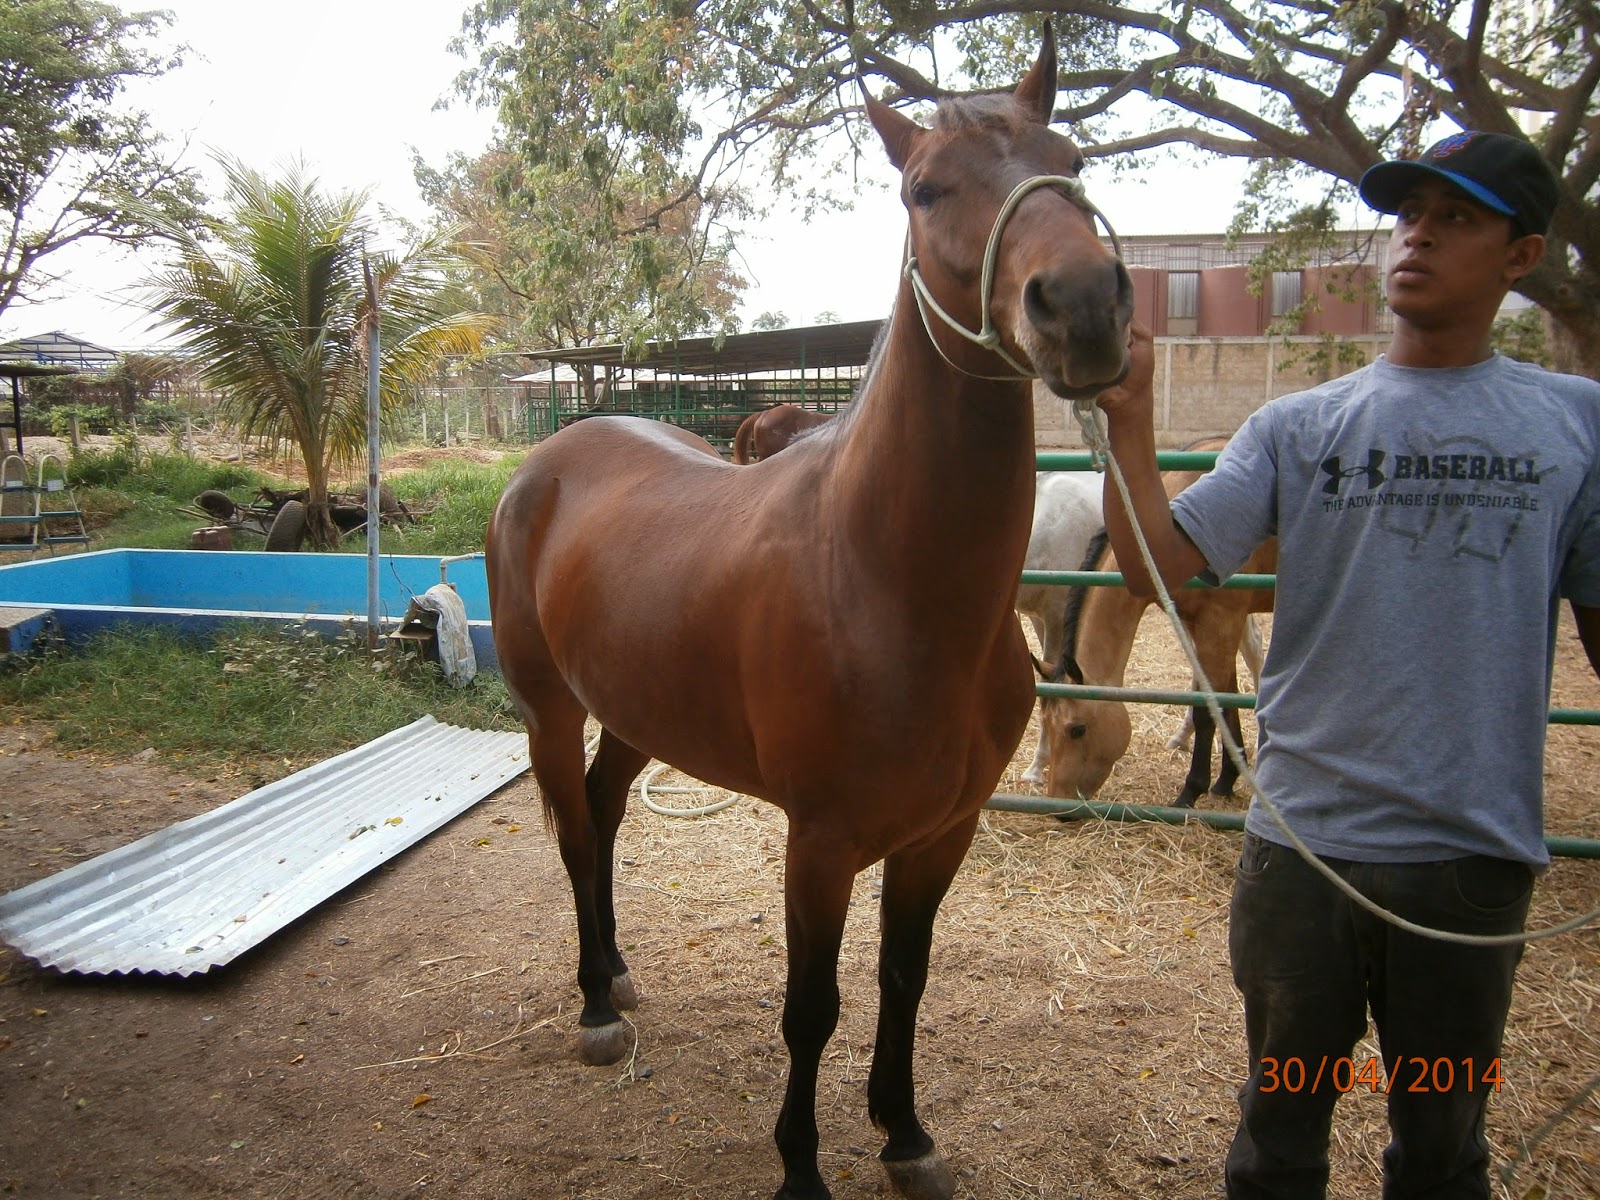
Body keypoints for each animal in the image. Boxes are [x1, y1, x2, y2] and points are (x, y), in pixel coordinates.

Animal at [484, 27, 1132, 1200]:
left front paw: (905, 1133)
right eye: (924, 189)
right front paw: (801, 1166)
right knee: (574, 830)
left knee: (602, 812)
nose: (1085, 305)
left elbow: (905, 977)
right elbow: (812, 1009)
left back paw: (619, 969)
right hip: (550, 710)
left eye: (1071, 157)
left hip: (640, 715)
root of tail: (545, 459)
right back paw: (596, 1005)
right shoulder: (819, 844)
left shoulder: (942, 834)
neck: (887, 587)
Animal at [1037, 439, 1277, 808]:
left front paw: (1191, 791)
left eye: (1077, 729)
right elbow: (1226, 698)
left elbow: (1209, 707)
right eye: (1046, 726)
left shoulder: (1221, 619)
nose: (1059, 804)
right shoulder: (1198, 622)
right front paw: (1226, 780)